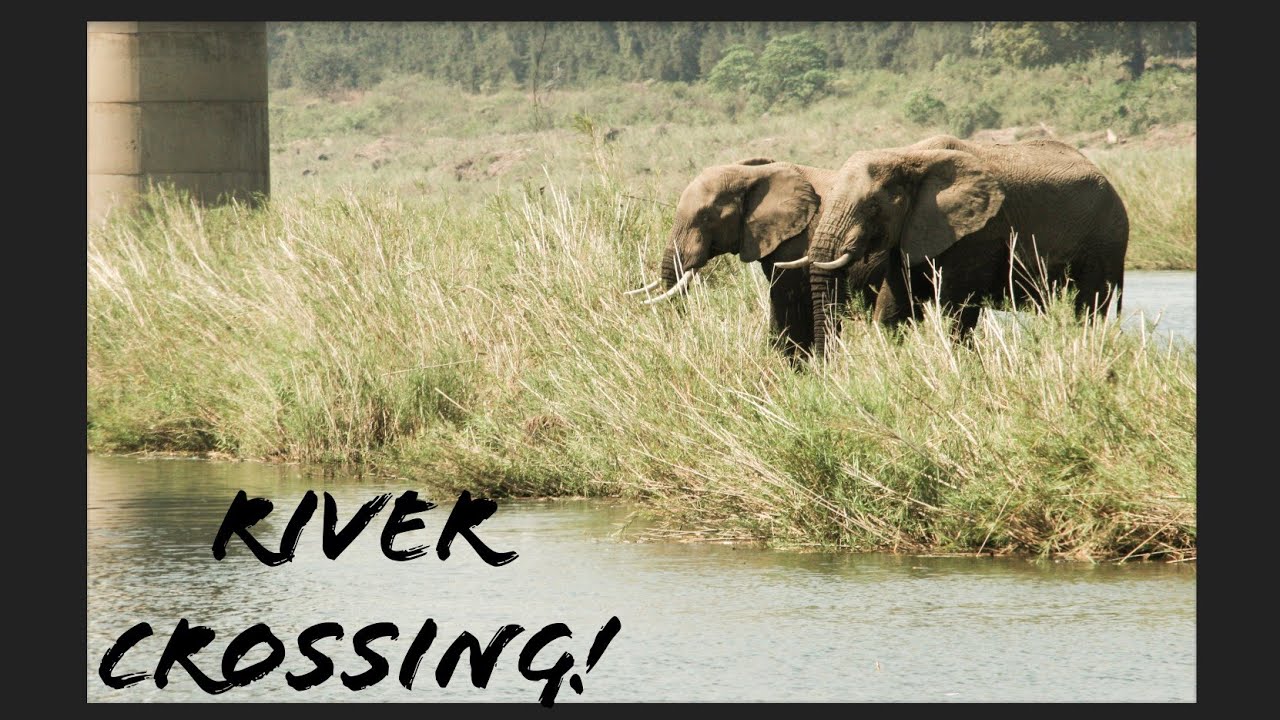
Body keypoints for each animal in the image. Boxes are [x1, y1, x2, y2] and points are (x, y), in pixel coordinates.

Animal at [784, 134, 1130, 356]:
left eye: (872, 207)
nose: (821, 367)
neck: (908, 156)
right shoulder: (911, 231)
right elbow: (893, 308)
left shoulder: (977, 235)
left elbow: (957, 310)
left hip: (1103, 245)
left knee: (1085, 312)